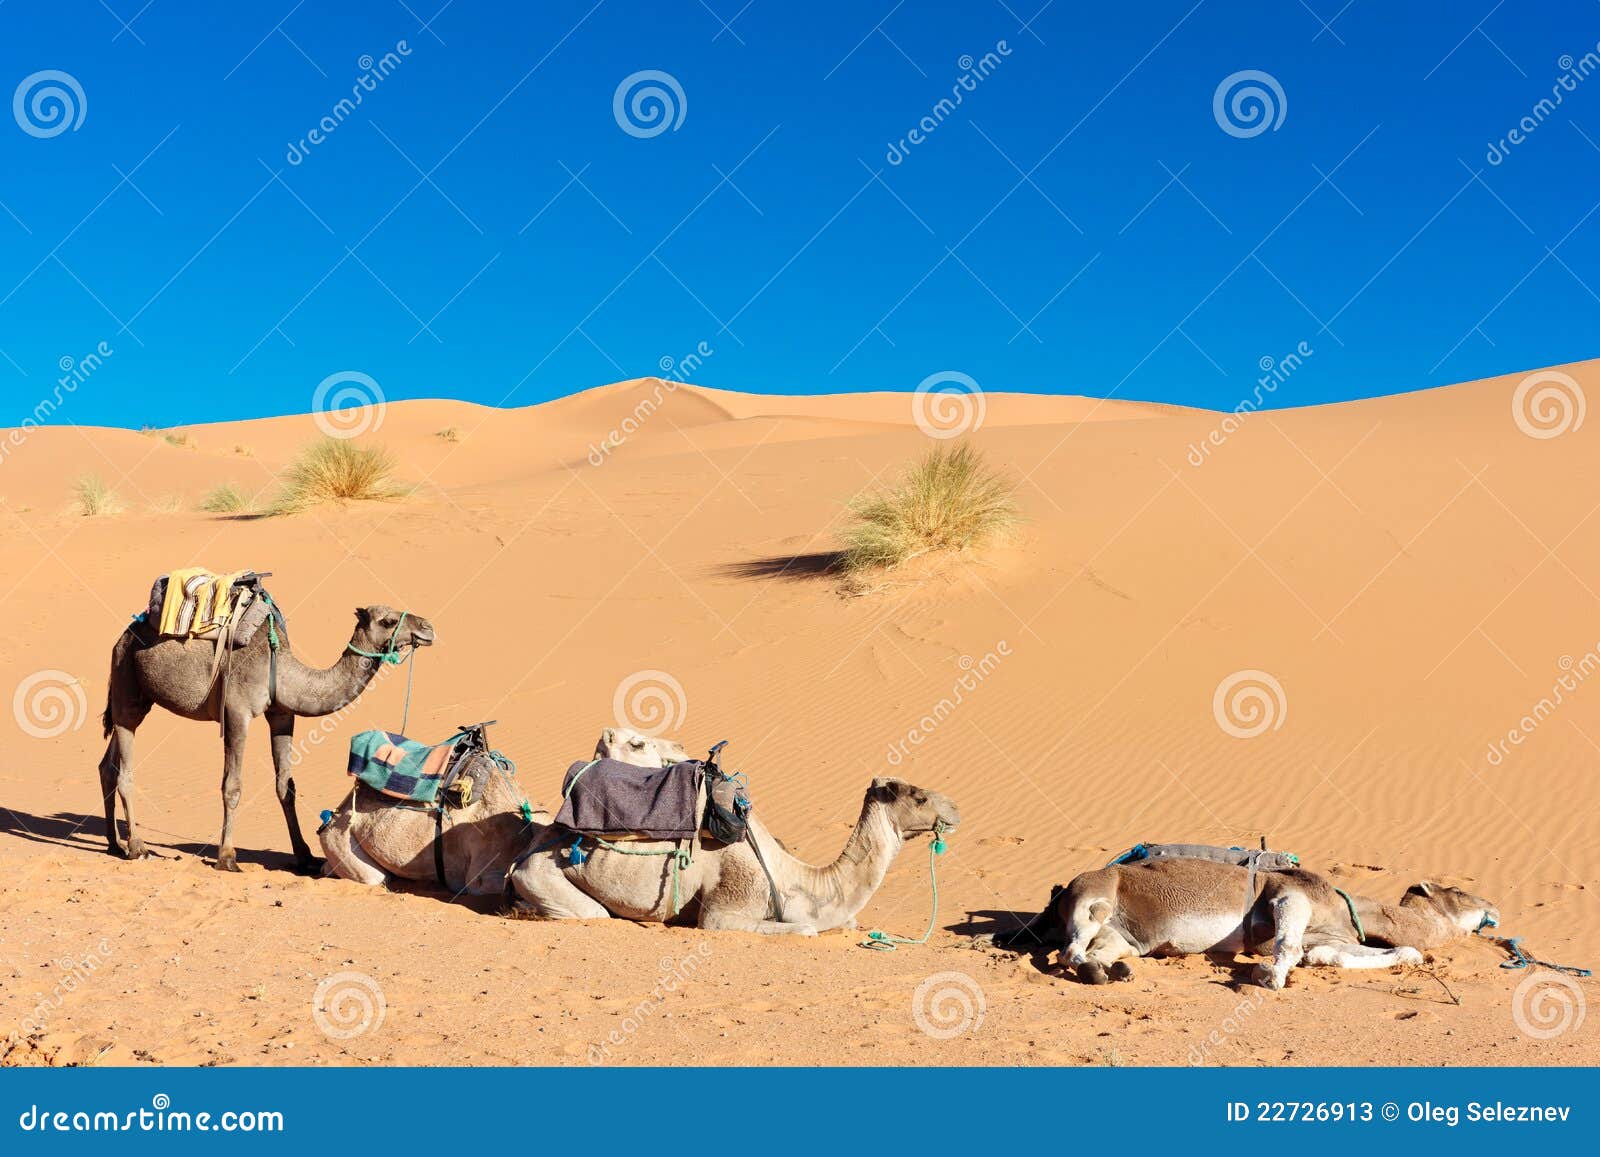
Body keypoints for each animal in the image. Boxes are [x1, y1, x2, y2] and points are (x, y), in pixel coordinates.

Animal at [100, 602, 435, 872]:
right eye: (388, 621)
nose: (428, 628)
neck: (283, 671)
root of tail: (121, 637)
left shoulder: (283, 714)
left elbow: (286, 786)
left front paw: (304, 856)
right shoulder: (237, 712)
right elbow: (232, 786)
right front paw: (227, 857)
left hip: (134, 696)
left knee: (107, 766)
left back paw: (114, 844)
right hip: (126, 682)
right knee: (124, 771)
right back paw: (137, 847)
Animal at [316, 726, 678, 894]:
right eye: (638, 744)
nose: (679, 745)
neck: (529, 830)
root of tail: (334, 811)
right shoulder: (479, 876)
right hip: (341, 837)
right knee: (374, 877)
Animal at [509, 741, 961, 936]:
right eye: (919, 797)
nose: (955, 809)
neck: (794, 881)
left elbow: (846, 922)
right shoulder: (726, 908)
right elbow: (805, 930)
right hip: (540, 873)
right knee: (591, 912)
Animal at [999, 857, 1498, 989]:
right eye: (1458, 891)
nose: (1491, 904)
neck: (1348, 906)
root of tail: (1064, 890)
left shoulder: (1329, 934)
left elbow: (1332, 952)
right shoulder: (1289, 896)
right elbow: (1287, 945)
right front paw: (1269, 976)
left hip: (1125, 935)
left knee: (1105, 949)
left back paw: (1112, 971)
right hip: (1094, 895)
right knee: (1070, 947)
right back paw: (1093, 970)